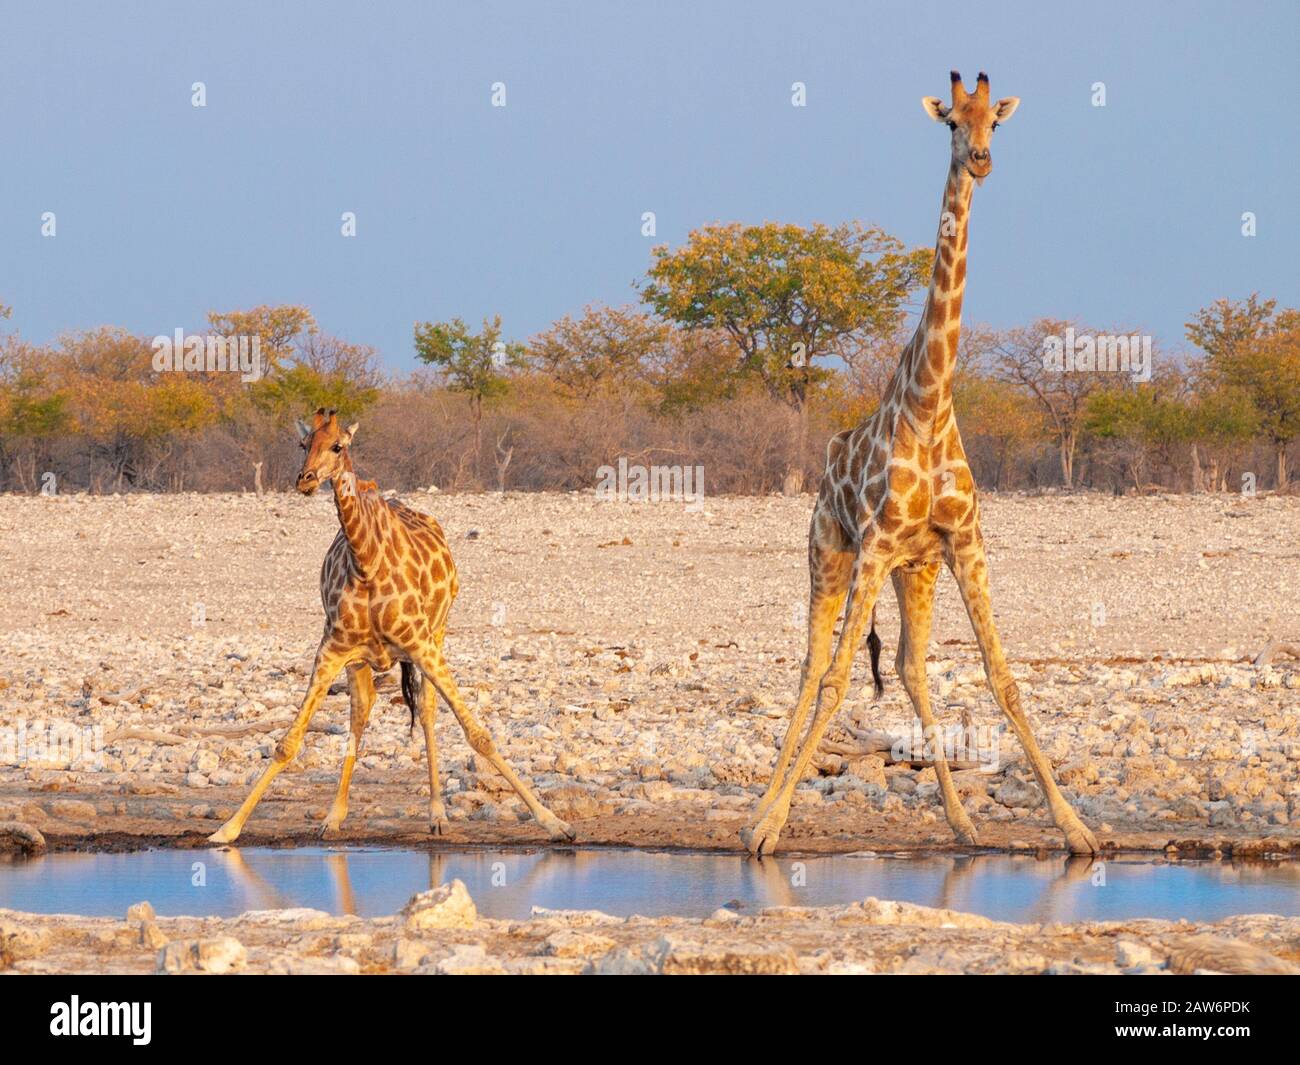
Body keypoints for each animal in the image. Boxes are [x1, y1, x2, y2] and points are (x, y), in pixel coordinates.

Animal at [208, 408, 574, 845]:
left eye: (338, 446)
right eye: (303, 443)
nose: (306, 480)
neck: (366, 562)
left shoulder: (421, 645)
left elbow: (479, 735)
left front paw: (555, 823)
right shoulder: (331, 648)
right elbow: (287, 743)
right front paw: (227, 829)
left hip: (437, 634)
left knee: (427, 711)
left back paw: (437, 815)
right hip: (361, 658)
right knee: (361, 710)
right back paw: (334, 816)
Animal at [740, 72, 1100, 857]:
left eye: (995, 120)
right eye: (951, 123)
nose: (982, 160)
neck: (931, 405)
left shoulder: (963, 543)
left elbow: (1002, 676)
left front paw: (1077, 827)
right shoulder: (874, 546)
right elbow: (836, 681)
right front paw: (772, 825)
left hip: (917, 570)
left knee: (907, 665)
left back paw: (961, 821)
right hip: (831, 555)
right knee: (812, 666)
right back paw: (758, 811)